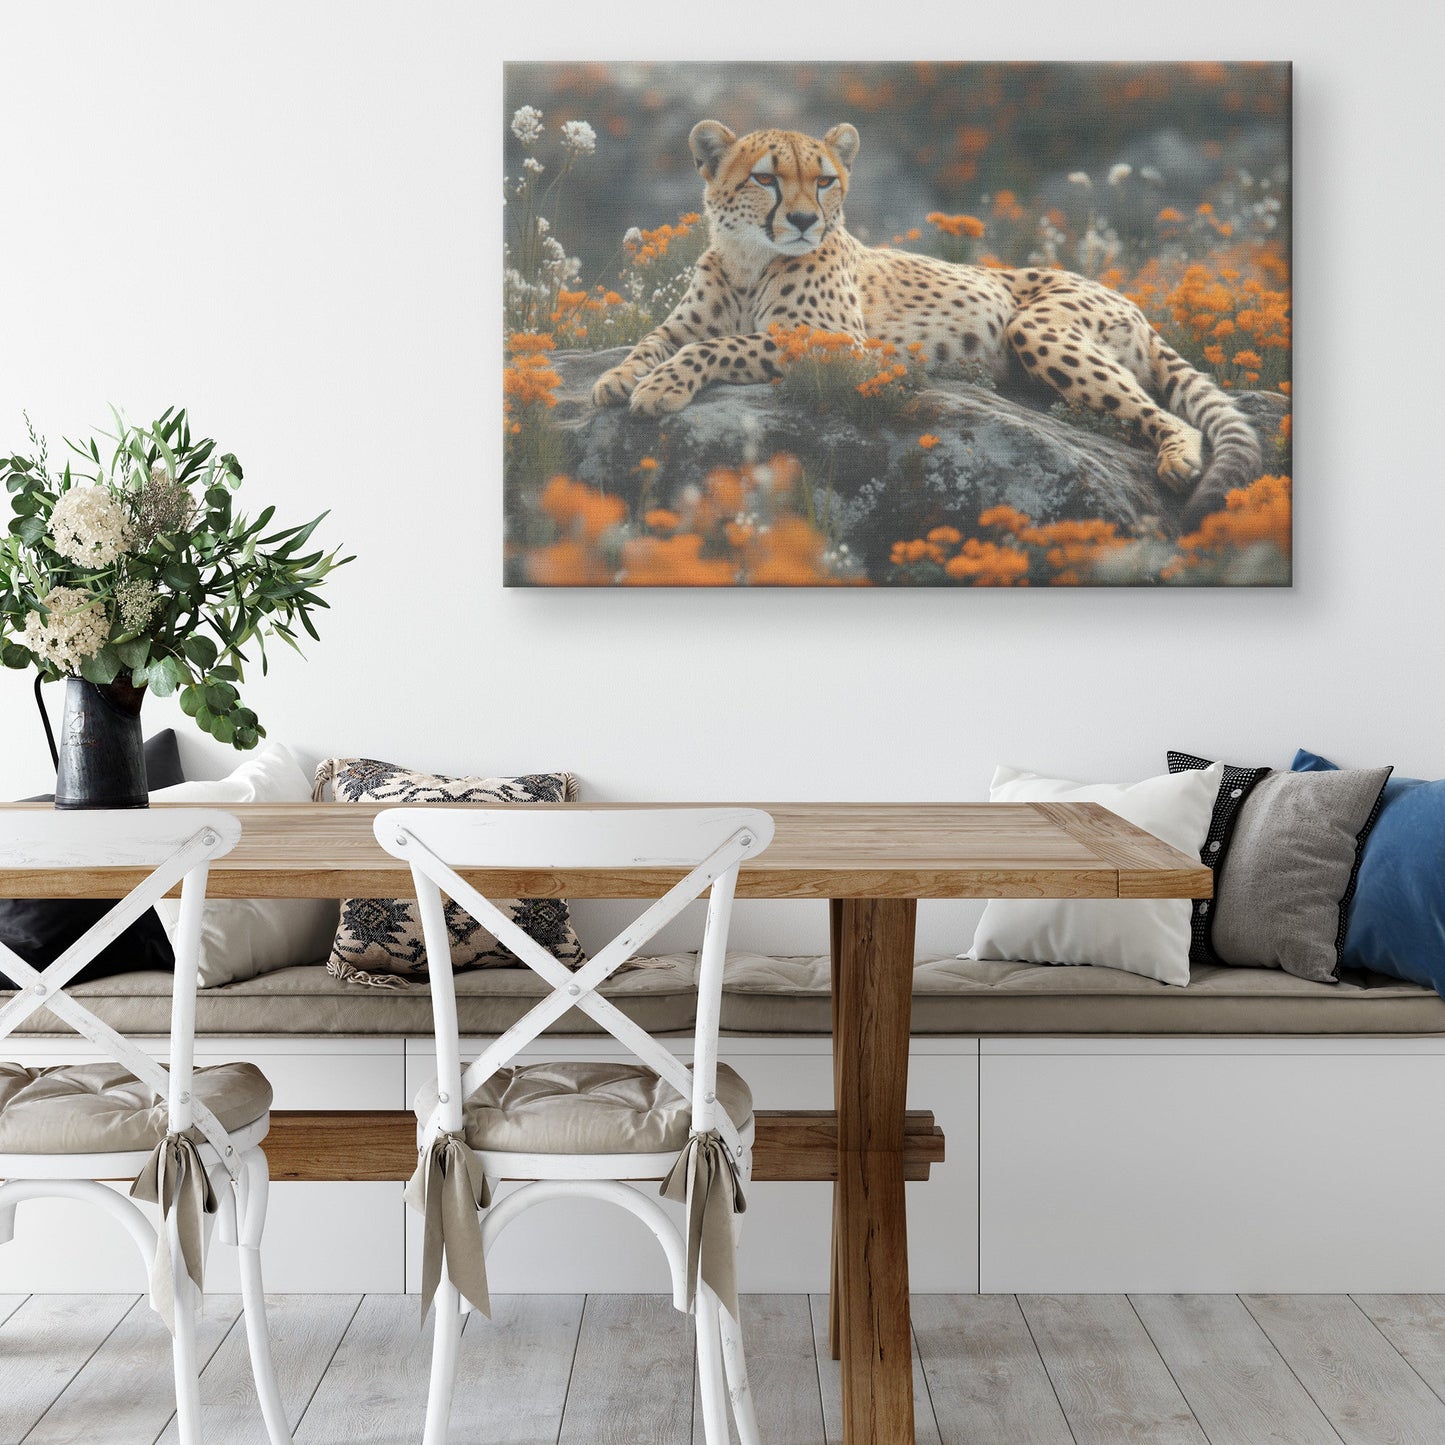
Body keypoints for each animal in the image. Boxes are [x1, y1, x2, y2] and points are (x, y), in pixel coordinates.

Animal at [592, 119, 1263, 527]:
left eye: (825, 180)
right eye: (765, 178)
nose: (806, 221)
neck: (748, 258)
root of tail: (1131, 300)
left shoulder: (840, 344)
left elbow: (720, 347)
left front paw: (660, 387)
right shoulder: (687, 324)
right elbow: (654, 339)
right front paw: (619, 378)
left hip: (1039, 329)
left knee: (1169, 414)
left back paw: (1177, 458)